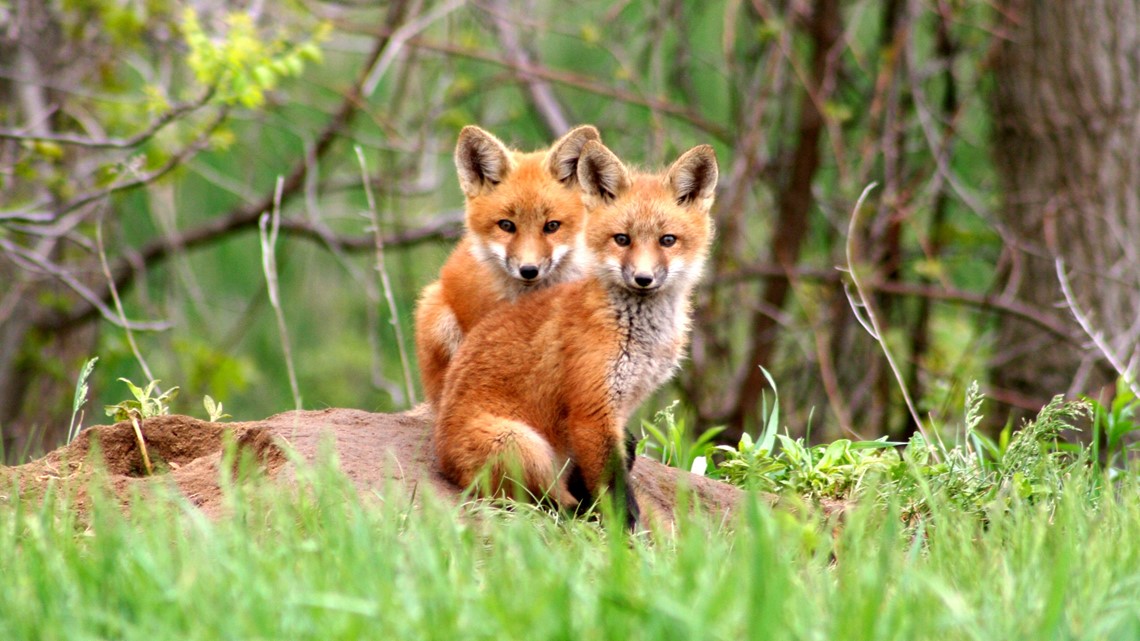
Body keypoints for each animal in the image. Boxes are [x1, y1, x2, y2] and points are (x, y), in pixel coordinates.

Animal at [433, 140, 718, 528]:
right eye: (622, 240)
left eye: (668, 240)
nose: (643, 279)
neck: (636, 335)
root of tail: (441, 459)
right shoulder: (591, 411)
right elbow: (617, 494)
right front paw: (627, 536)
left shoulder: (619, 410)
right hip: (523, 445)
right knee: (547, 505)